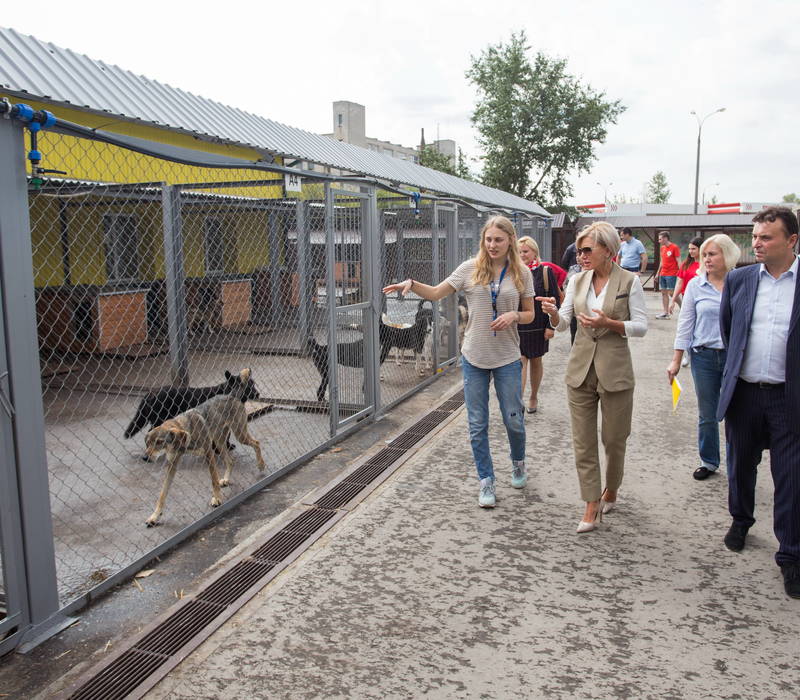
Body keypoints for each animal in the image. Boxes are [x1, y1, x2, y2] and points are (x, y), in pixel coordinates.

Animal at [144, 388, 266, 524]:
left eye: (159, 442)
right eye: (148, 443)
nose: (145, 458)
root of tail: (231, 394)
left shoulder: (208, 453)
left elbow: (213, 480)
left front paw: (217, 498)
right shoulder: (172, 465)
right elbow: (162, 493)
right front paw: (155, 516)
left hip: (240, 435)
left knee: (256, 443)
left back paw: (261, 464)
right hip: (219, 442)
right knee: (230, 460)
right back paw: (226, 479)